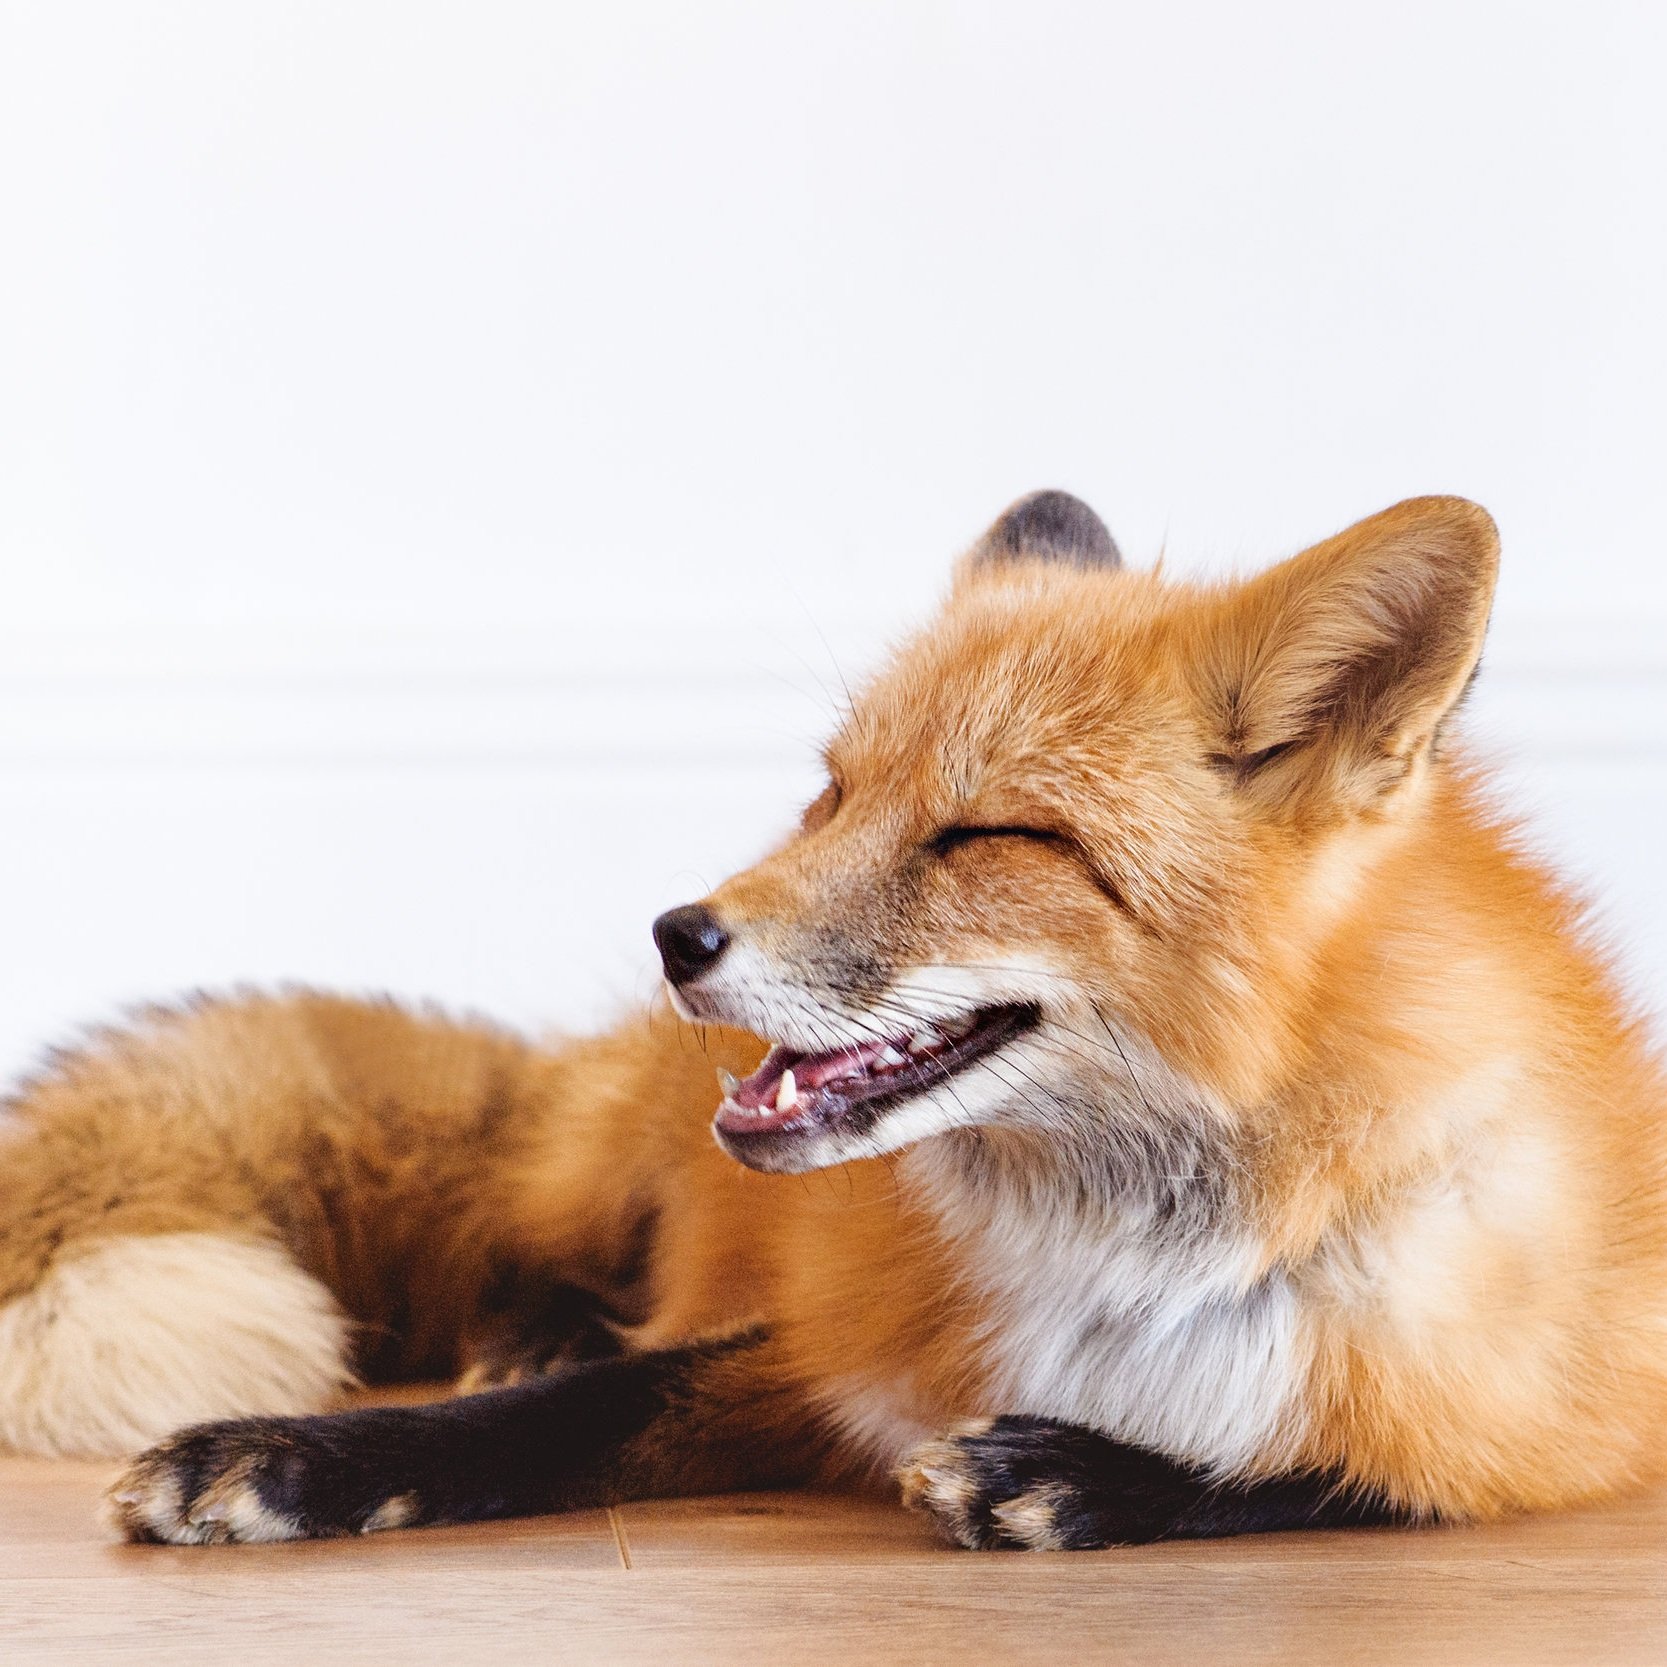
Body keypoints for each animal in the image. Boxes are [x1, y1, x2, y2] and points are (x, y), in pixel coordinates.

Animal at [1, 488, 1664, 1552]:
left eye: (992, 835)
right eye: (832, 793)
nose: (677, 933)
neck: (1119, 1266)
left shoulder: (1568, 1401)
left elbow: (1357, 1462)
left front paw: (1077, 1476)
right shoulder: (810, 1352)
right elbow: (580, 1407)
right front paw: (293, 1458)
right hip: (622, 1157)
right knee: (538, 1249)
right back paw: (530, 1318)